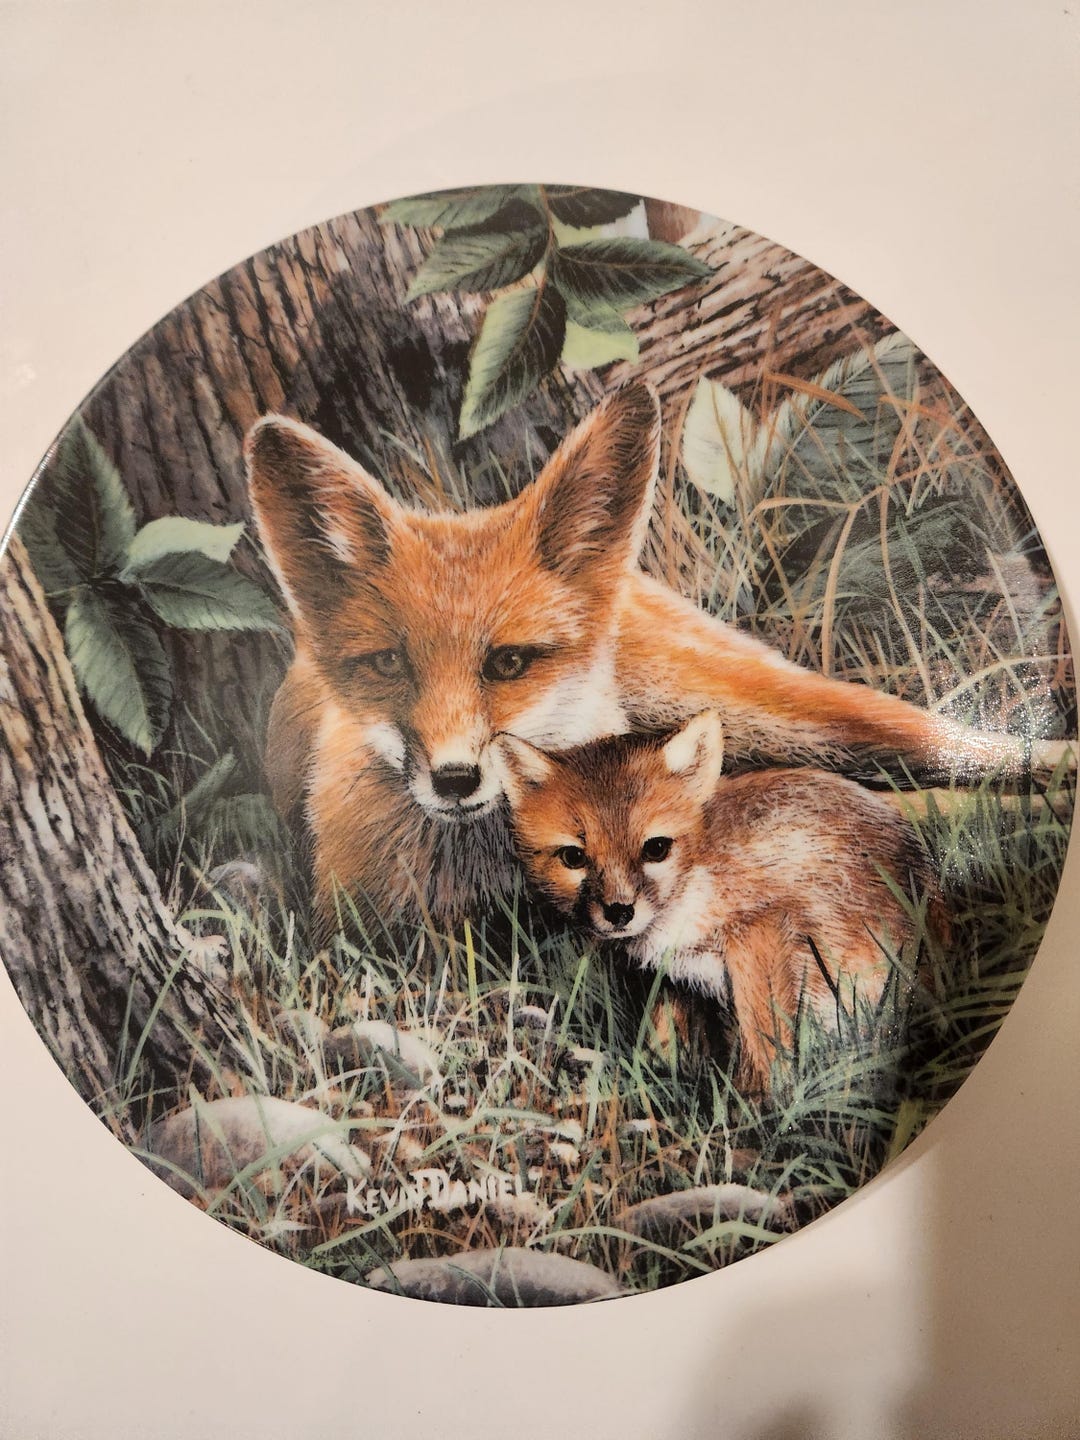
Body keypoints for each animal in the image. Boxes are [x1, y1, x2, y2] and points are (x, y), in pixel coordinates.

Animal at [495, 712, 947, 1095]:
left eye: (656, 848)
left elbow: (765, 1045)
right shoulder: (675, 979)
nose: (619, 912)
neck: (702, 869)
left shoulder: (763, 932)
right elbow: (665, 1041)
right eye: (574, 857)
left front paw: (756, 1113)